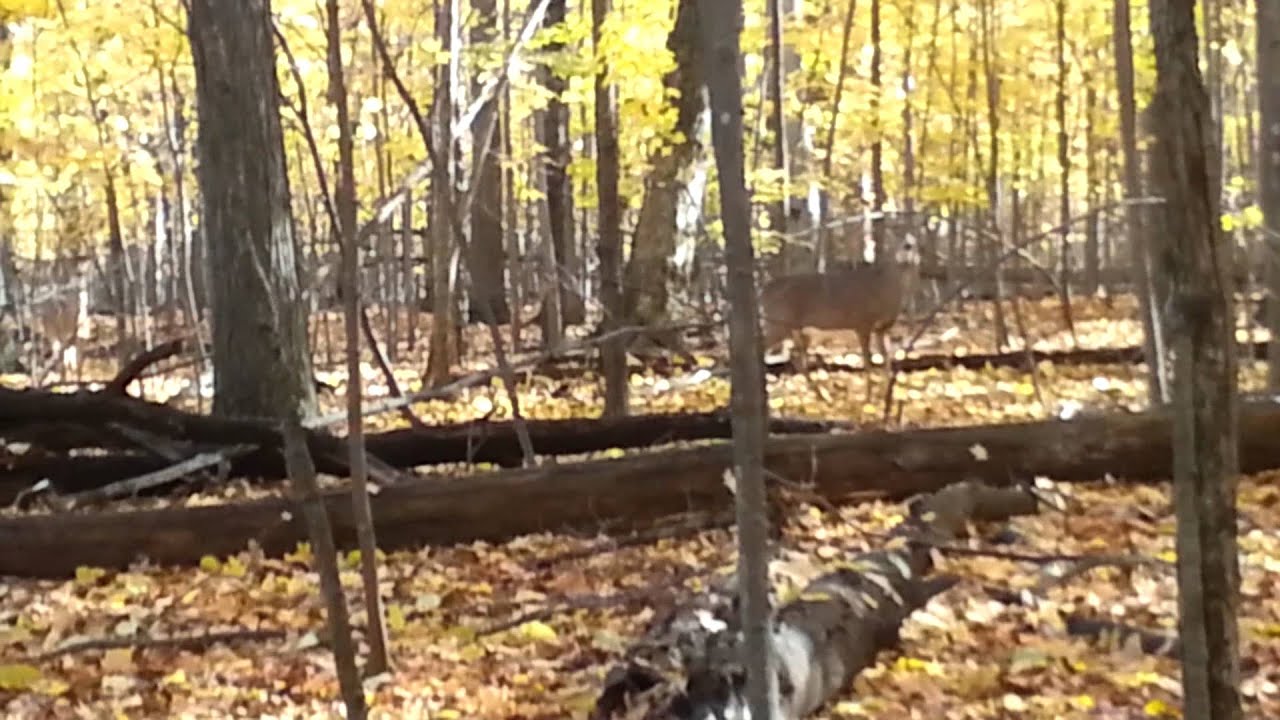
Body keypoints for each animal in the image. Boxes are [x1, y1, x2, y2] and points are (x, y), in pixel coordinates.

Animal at [759, 233, 921, 399]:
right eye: (894, 246)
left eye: (909, 245)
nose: (902, 258)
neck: (885, 289)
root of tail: (764, 291)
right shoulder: (862, 323)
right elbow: (868, 362)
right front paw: (868, 398)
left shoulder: (880, 329)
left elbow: (886, 360)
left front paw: (885, 395)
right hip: (778, 322)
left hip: (800, 332)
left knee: (797, 359)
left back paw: (822, 396)